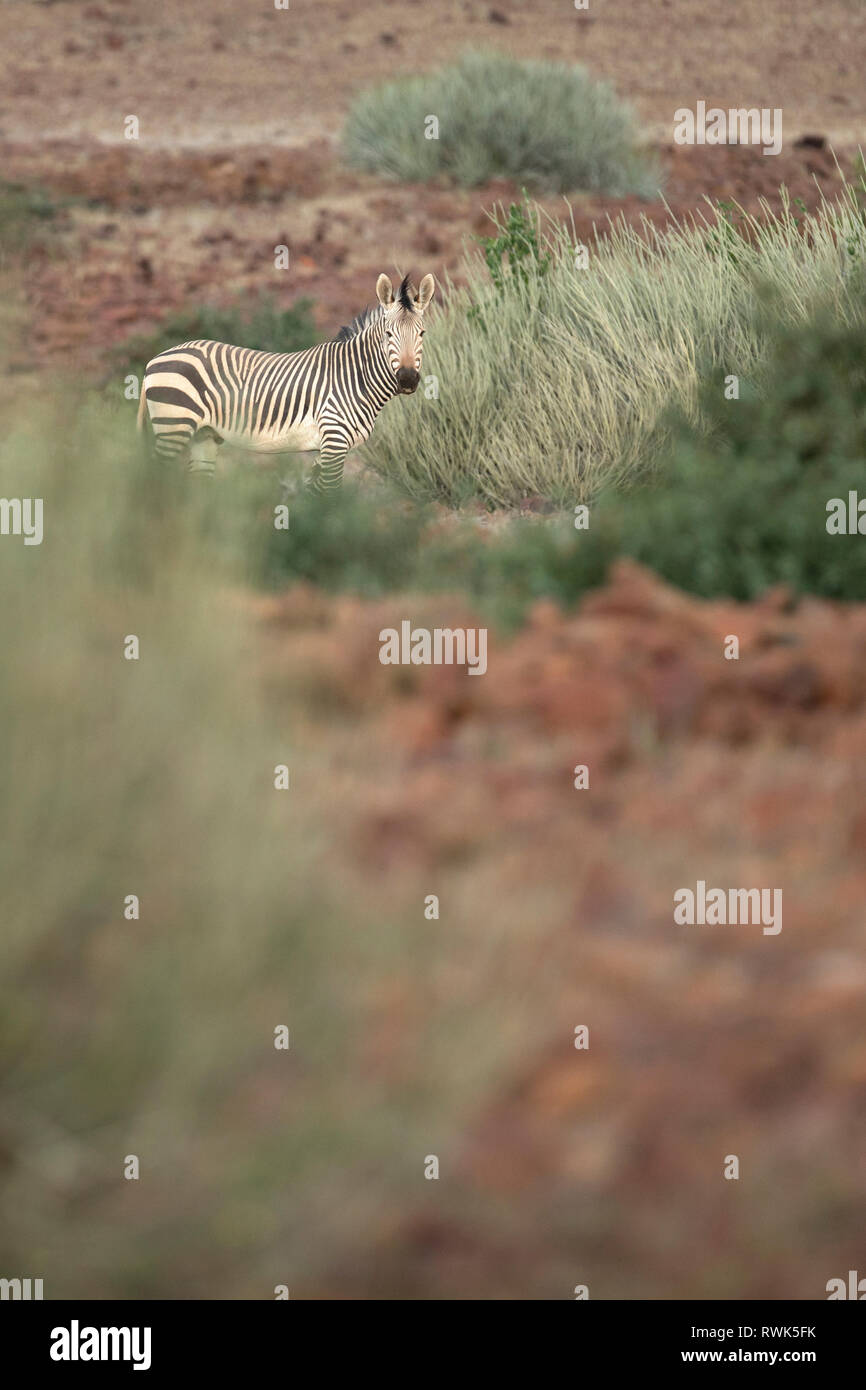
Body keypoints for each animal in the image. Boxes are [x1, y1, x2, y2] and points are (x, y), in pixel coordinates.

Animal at [137, 271, 435, 495]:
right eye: (388, 334)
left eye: (422, 333)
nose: (407, 379)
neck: (354, 377)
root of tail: (154, 360)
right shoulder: (335, 440)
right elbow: (330, 495)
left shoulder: (324, 447)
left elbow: (315, 494)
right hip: (174, 427)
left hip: (203, 435)